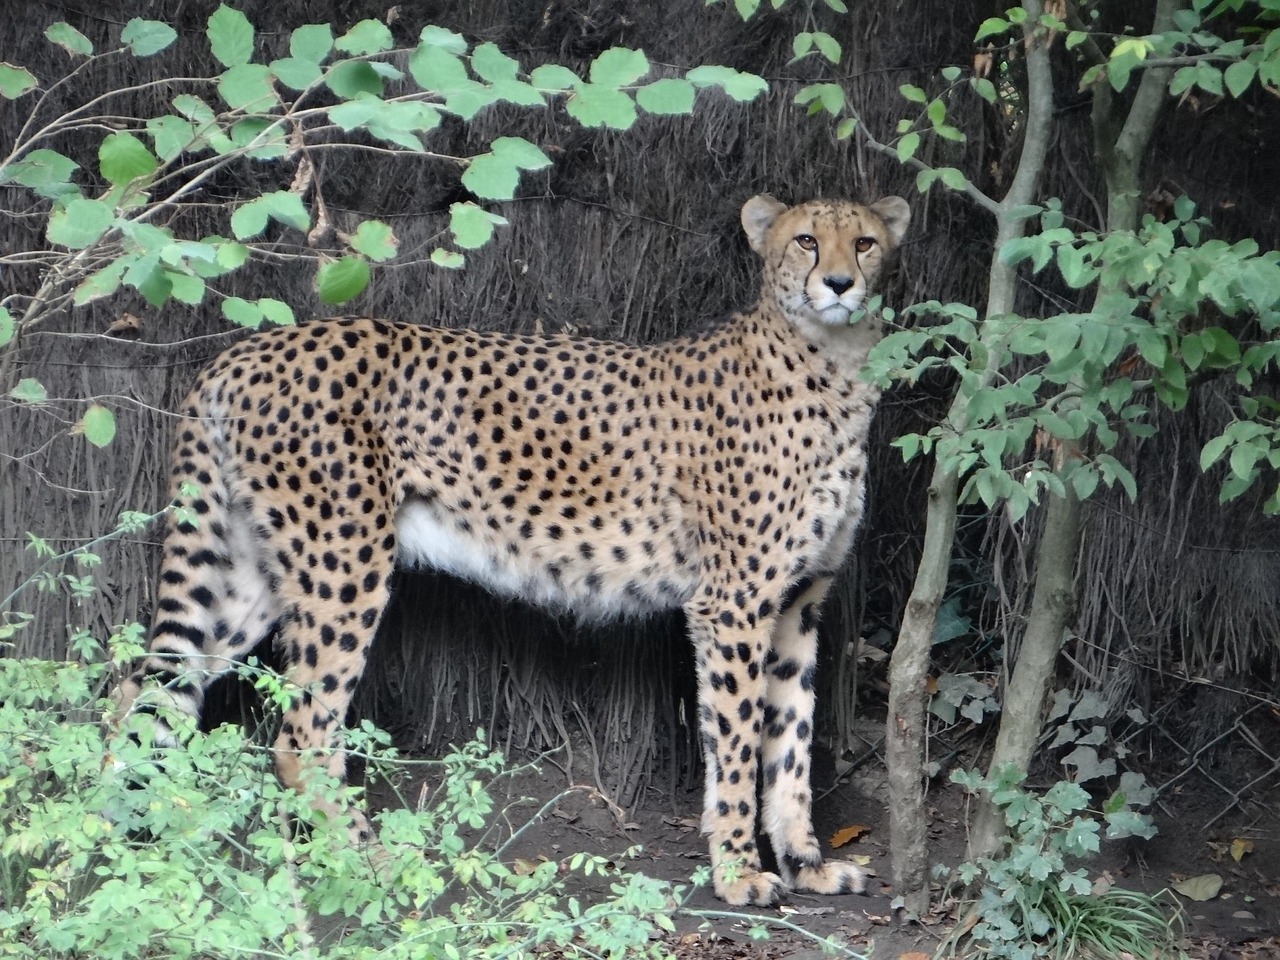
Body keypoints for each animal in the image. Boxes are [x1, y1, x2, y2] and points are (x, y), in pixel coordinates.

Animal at [114, 192, 910, 906]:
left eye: (865, 243)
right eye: (806, 240)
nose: (840, 284)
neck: (834, 364)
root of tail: (246, 350)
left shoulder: (799, 604)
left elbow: (791, 742)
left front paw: (806, 864)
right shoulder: (733, 605)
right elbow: (740, 745)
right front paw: (740, 872)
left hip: (254, 572)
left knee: (145, 692)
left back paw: (131, 837)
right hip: (342, 566)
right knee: (299, 732)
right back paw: (371, 861)